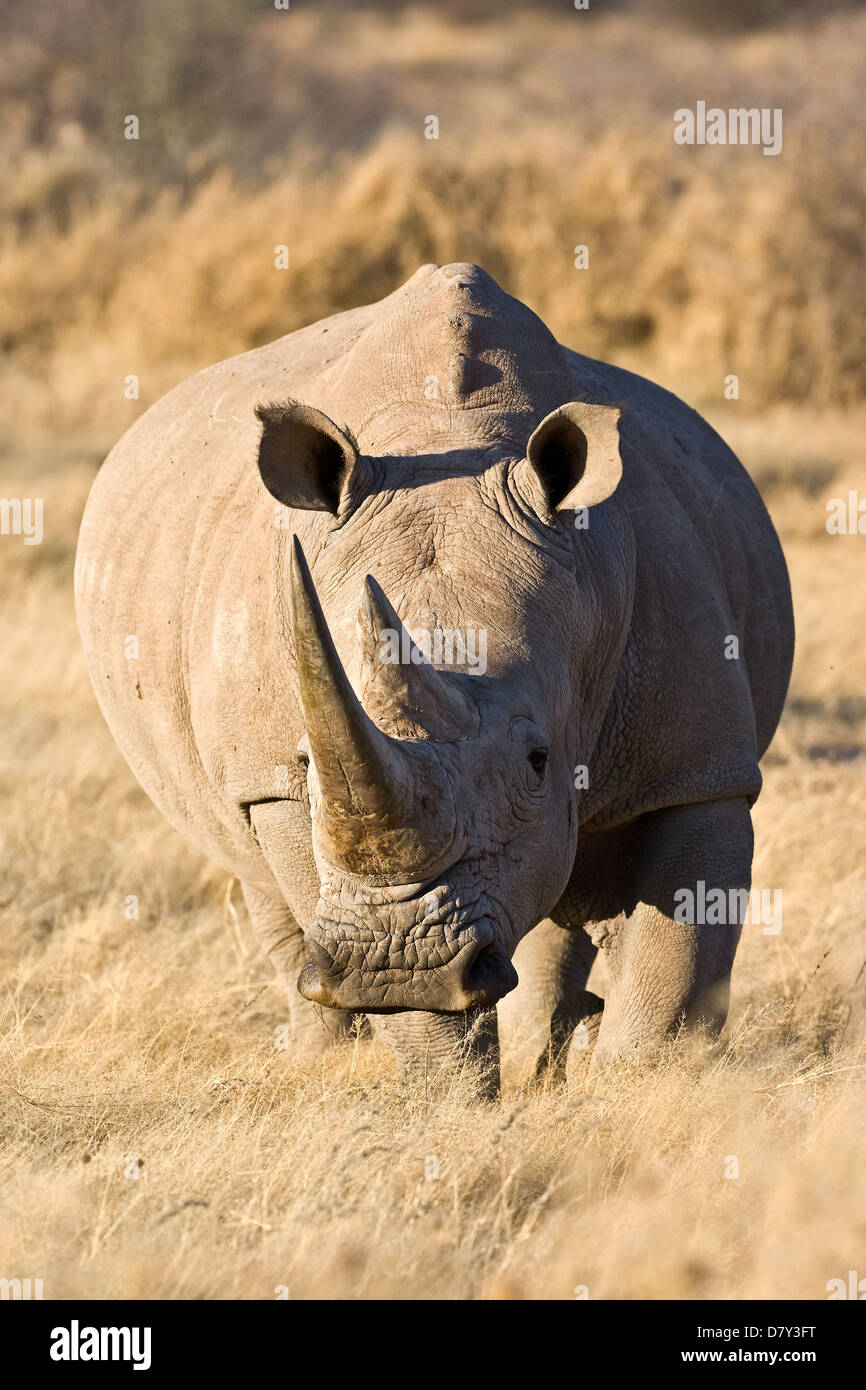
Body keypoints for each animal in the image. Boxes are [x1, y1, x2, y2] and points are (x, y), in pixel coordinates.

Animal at [75, 262, 793, 1095]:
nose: (397, 962)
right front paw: (455, 1101)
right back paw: (327, 1063)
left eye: (538, 761)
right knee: (267, 887)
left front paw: (642, 1091)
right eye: (309, 762)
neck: (451, 439)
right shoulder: (283, 787)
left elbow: (671, 971)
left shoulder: (698, 770)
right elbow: (398, 972)